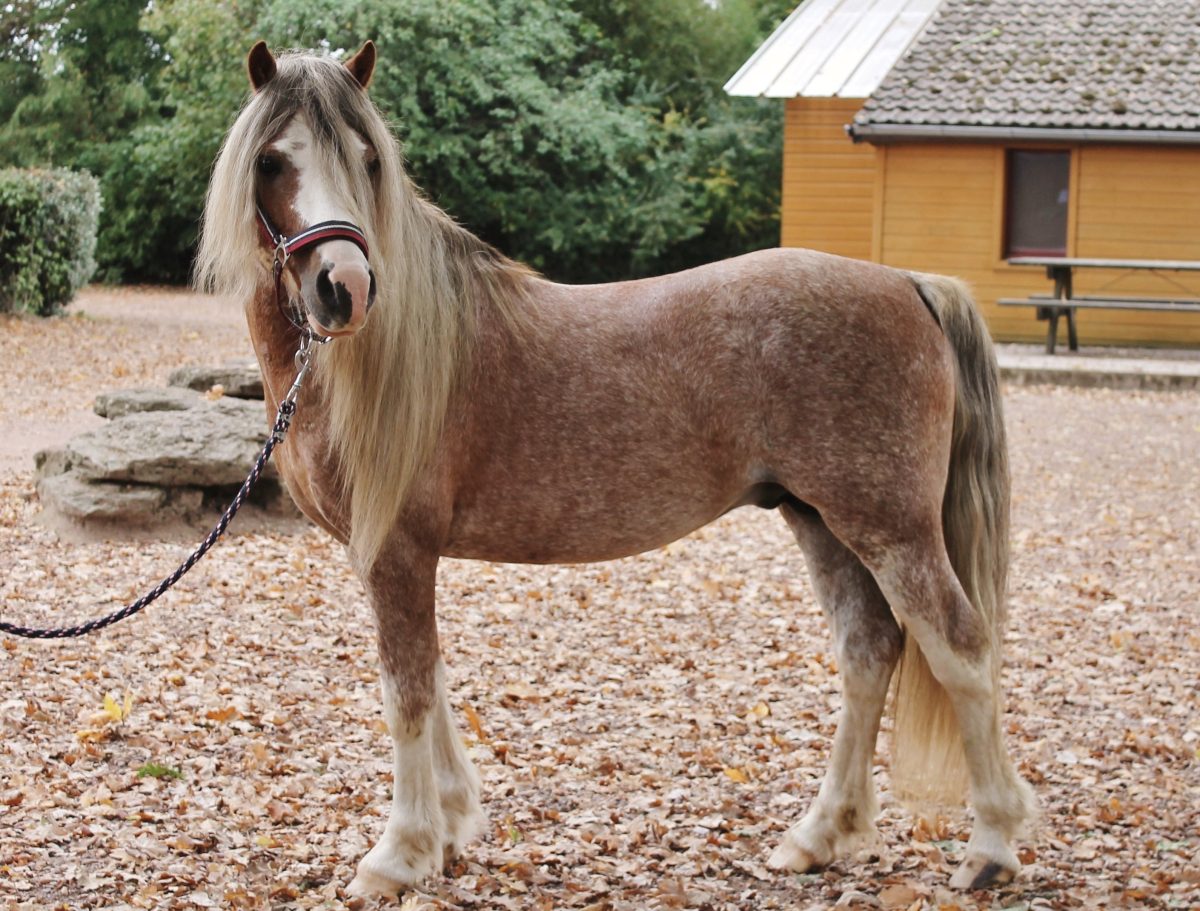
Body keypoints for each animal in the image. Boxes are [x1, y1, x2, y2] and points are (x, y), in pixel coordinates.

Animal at [196, 40, 1035, 899]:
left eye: (368, 160)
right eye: (271, 160)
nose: (346, 288)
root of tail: (908, 283)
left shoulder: (396, 550)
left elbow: (407, 694)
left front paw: (399, 854)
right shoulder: (398, 557)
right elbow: (431, 677)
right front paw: (454, 825)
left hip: (890, 527)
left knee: (961, 649)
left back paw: (991, 846)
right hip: (822, 520)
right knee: (869, 650)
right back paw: (818, 836)